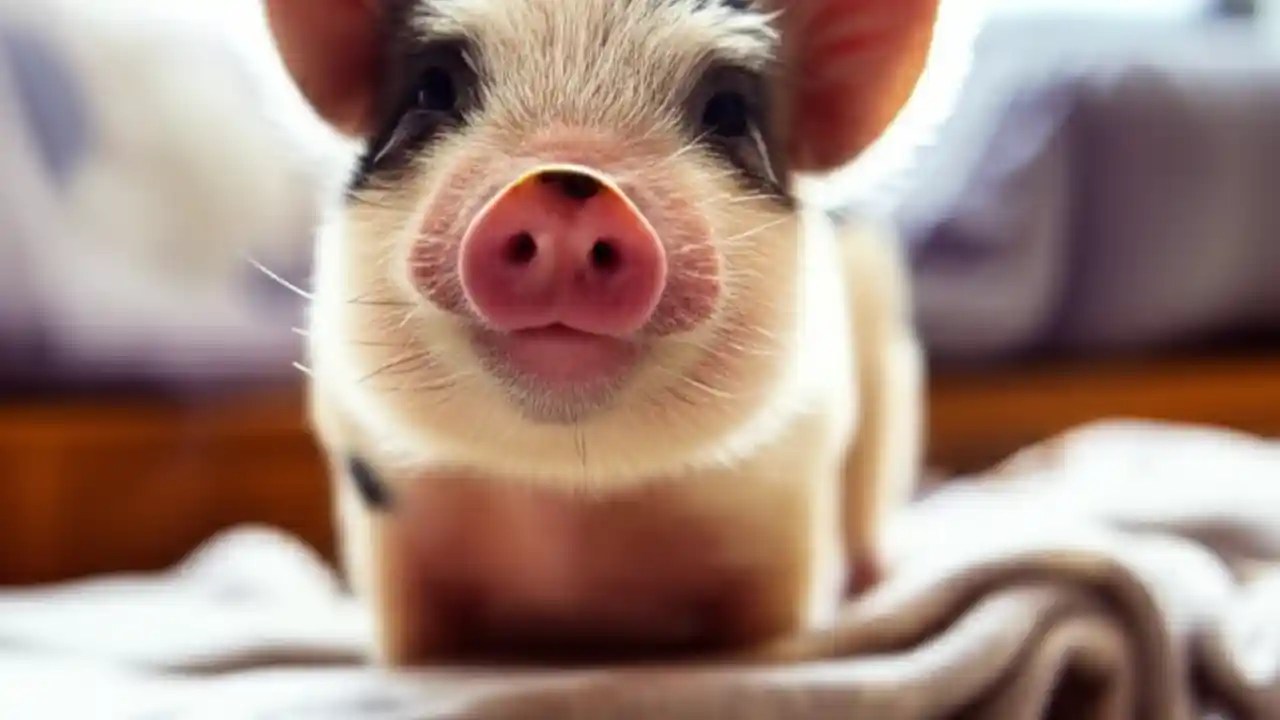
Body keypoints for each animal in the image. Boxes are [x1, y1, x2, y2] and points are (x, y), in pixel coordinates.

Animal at [264, 0, 935, 664]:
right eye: (432, 89)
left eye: (727, 112)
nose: (566, 176)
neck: (571, 505)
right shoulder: (385, 520)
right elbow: (412, 654)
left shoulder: (786, 512)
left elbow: (765, 643)